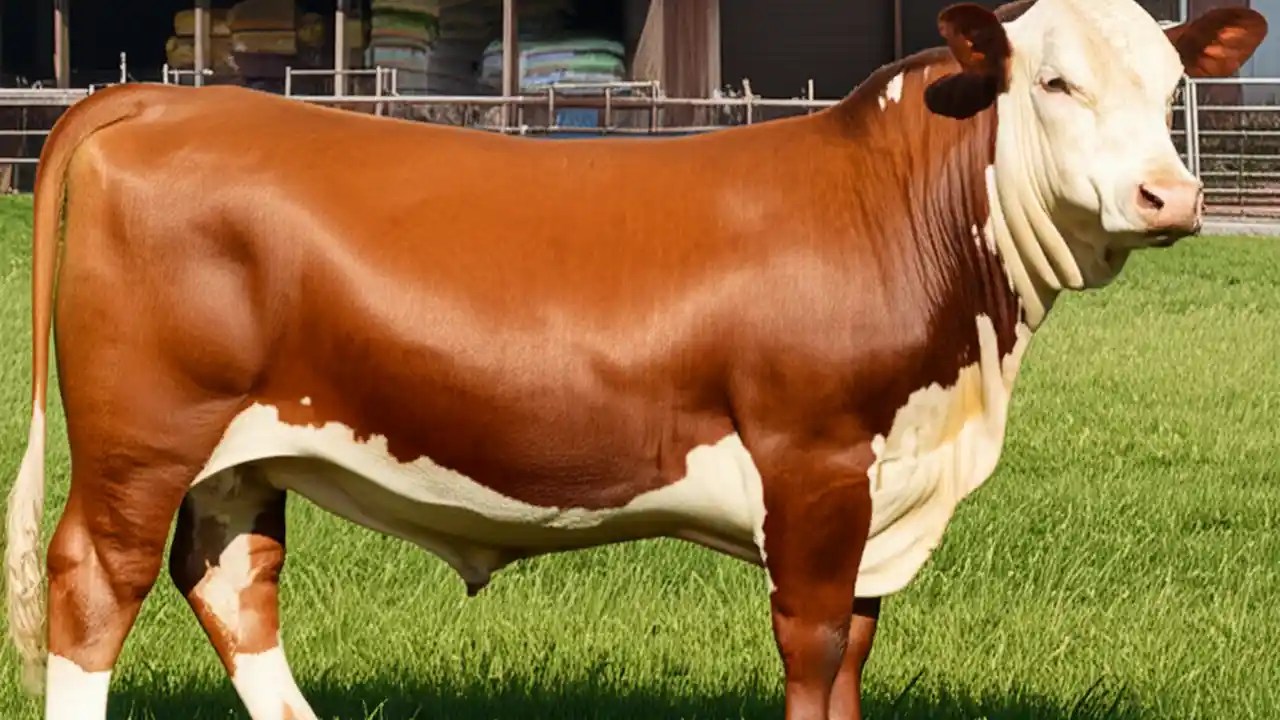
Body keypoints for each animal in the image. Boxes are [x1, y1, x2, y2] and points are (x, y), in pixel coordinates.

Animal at [3, 1, 1266, 718]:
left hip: (241, 453)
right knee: (95, 587)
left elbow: (852, 656)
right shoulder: (813, 469)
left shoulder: (881, 491)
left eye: (1172, 88)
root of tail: (161, 98)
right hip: (141, 438)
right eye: (1052, 81)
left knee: (232, 584)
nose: (1169, 196)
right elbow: (812, 654)